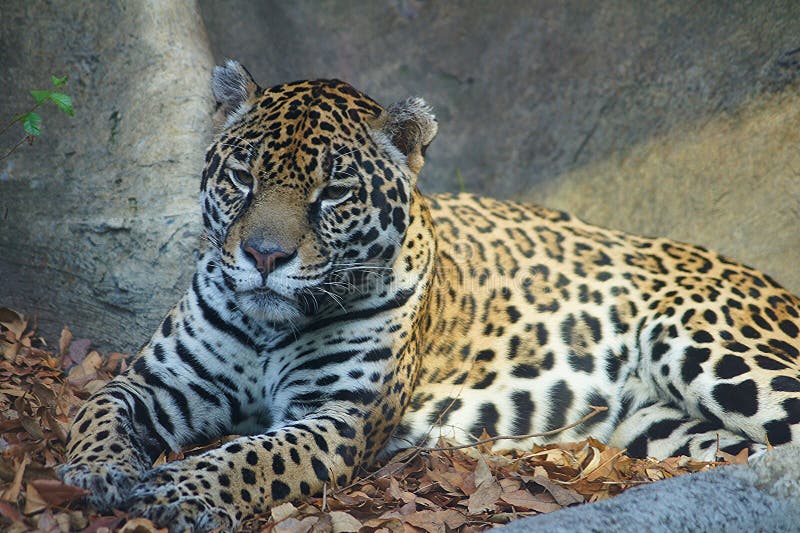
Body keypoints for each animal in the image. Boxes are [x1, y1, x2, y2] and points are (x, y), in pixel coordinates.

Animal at [59, 60, 800, 532]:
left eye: (333, 192)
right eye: (243, 176)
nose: (264, 257)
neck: (270, 328)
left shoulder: (340, 417)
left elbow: (252, 455)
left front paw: (177, 488)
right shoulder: (155, 381)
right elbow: (96, 409)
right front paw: (94, 473)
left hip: (714, 347)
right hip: (665, 425)